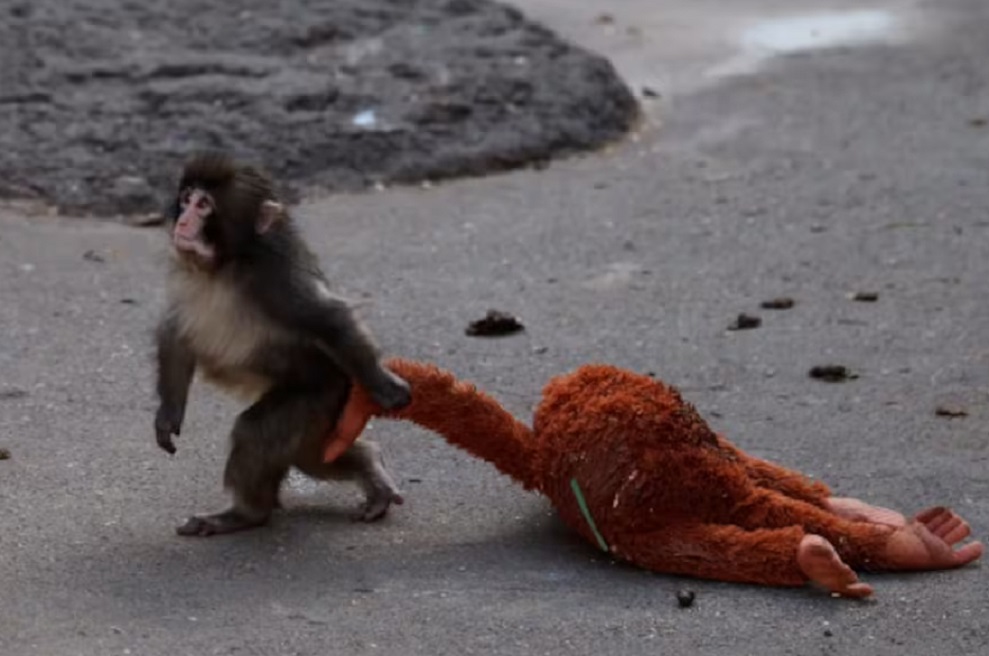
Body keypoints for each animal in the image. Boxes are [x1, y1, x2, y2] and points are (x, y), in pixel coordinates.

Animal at [154, 152, 411, 537]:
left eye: (204, 205)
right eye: (185, 199)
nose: (183, 221)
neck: (225, 265)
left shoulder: (275, 278)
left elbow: (328, 318)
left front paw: (383, 384)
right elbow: (176, 333)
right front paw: (168, 414)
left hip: (321, 394)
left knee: (258, 433)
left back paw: (246, 513)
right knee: (314, 457)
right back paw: (370, 464)